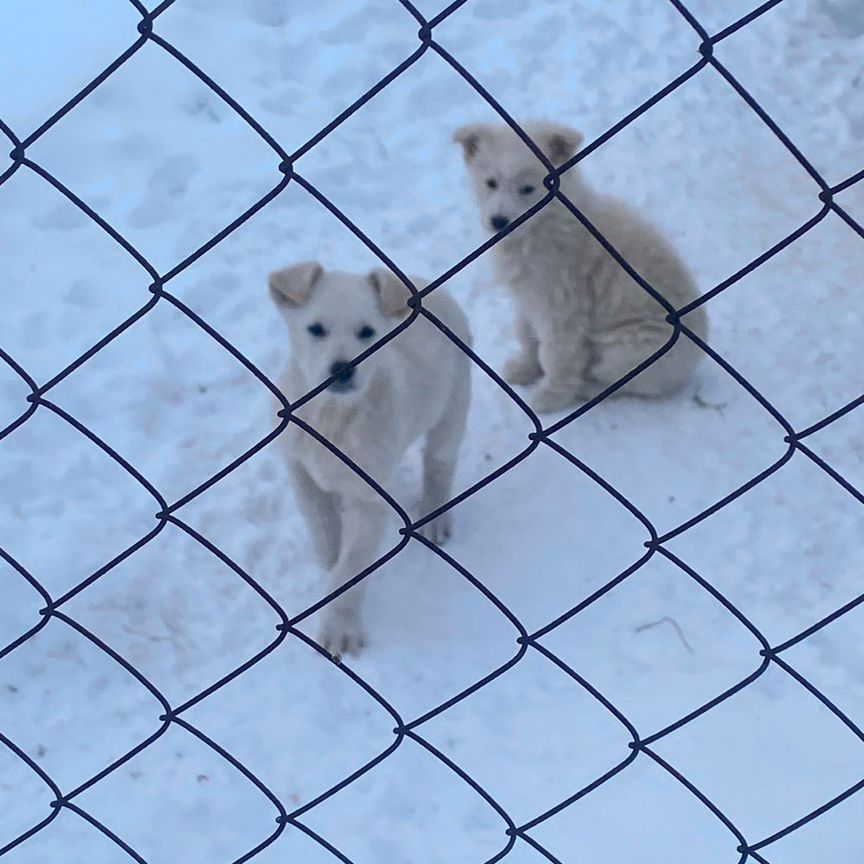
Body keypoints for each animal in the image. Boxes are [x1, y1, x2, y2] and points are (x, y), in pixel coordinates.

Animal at [270, 262, 472, 656]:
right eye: (316, 329)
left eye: (366, 333)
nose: (342, 368)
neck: (335, 416)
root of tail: (426, 285)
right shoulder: (297, 467)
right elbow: (320, 522)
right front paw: (330, 552)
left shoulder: (369, 500)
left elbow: (350, 568)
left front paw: (340, 626)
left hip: (452, 407)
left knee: (439, 464)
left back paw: (435, 516)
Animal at [452, 121, 708, 416]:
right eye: (490, 183)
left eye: (527, 189)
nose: (498, 222)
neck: (541, 224)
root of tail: (692, 364)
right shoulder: (528, 300)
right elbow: (527, 336)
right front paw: (524, 369)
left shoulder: (562, 310)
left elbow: (554, 355)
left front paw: (550, 397)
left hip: (628, 347)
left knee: (620, 383)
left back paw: (585, 387)